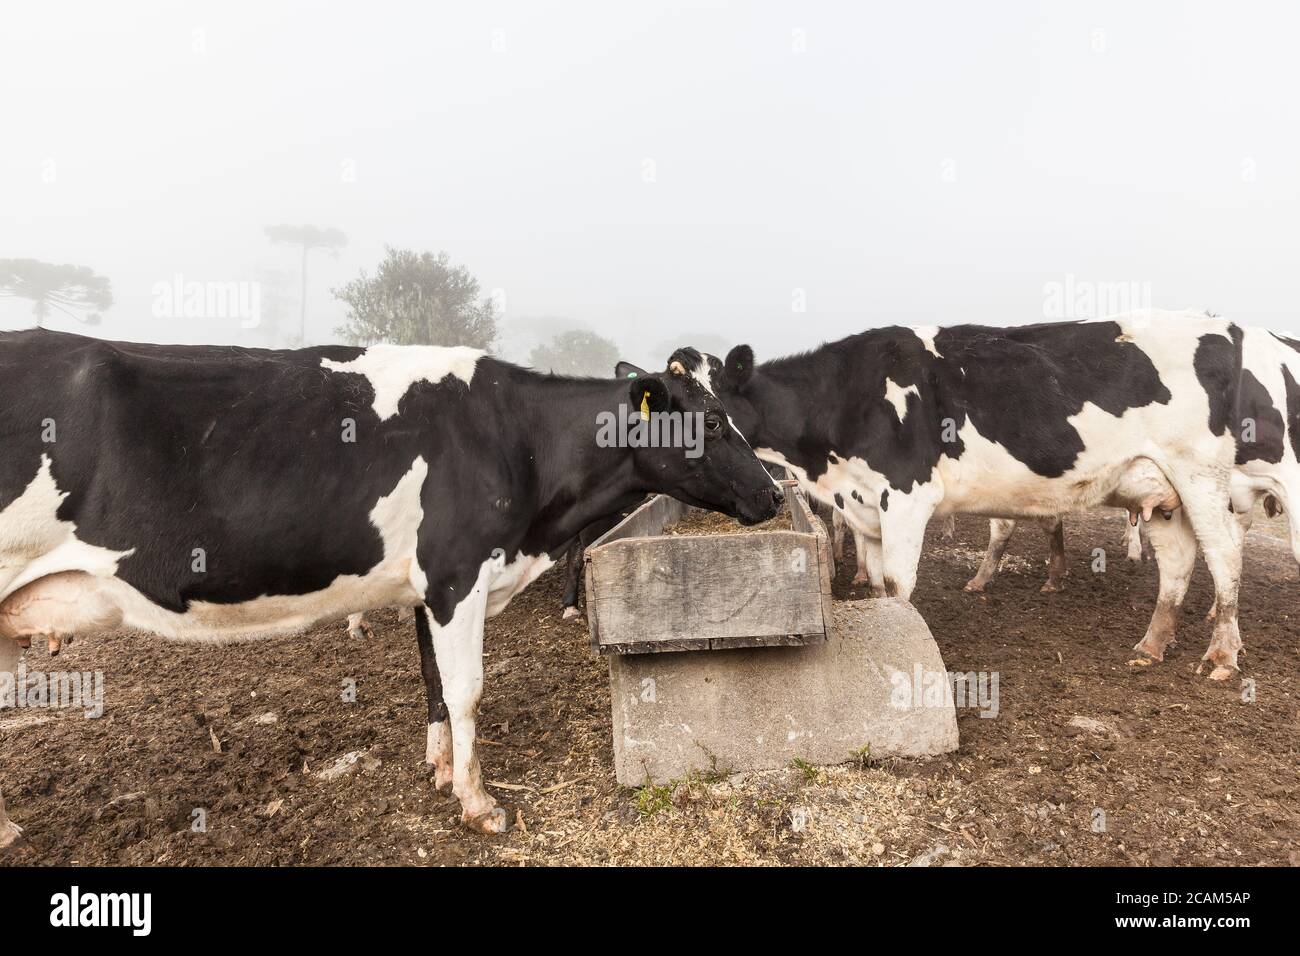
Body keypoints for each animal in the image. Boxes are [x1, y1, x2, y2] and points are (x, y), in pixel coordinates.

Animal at [0, 329, 780, 846]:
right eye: (713, 422)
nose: (773, 493)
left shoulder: (425, 585)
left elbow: (431, 679)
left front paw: (439, 769)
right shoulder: (457, 570)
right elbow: (466, 689)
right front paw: (478, 800)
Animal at [667, 311, 1300, 682]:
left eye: (711, 413)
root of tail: (1236, 327)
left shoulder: (906, 496)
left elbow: (897, 585)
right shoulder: (864, 505)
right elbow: (874, 587)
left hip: (1204, 478)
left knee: (1225, 557)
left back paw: (1222, 656)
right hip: (1161, 488)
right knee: (1179, 565)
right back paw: (1152, 644)